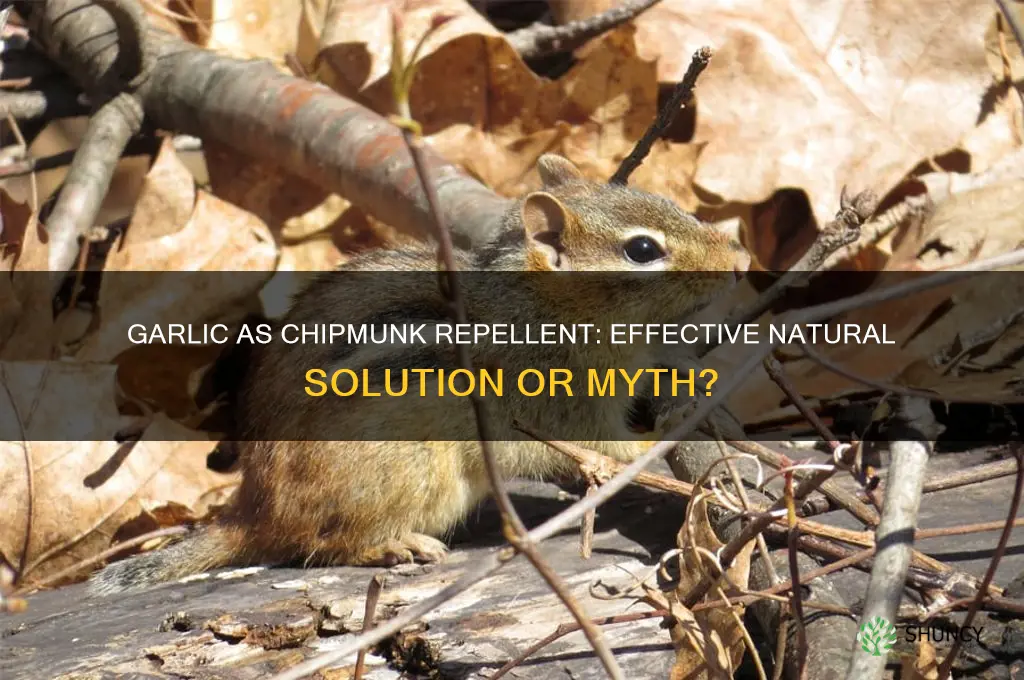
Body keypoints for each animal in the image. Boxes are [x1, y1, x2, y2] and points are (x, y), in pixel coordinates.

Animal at [89, 155, 750, 594]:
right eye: (643, 250)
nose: (741, 260)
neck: (547, 308)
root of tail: (254, 508)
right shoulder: (564, 406)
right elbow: (609, 448)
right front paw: (664, 438)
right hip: (408, 466)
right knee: (317, 544)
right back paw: (392, 545)